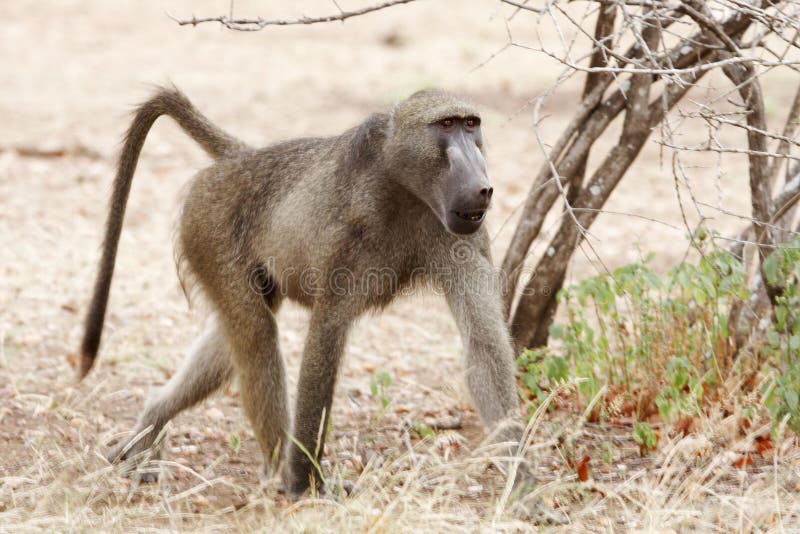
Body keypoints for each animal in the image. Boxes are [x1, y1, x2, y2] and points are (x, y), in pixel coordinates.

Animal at [79, 86, 530, 498]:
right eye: (447, 125)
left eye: (471, 125)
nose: (482, 185)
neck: (404, 188)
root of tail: (241, 159)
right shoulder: (347, 239)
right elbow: (325, 338)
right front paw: (305, 484)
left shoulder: (465, 236)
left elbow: (484, 345)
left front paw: (522, 484)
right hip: (208, 226)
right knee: (257, 337)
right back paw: (279, 472)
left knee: (233, 340)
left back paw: (150, 423)